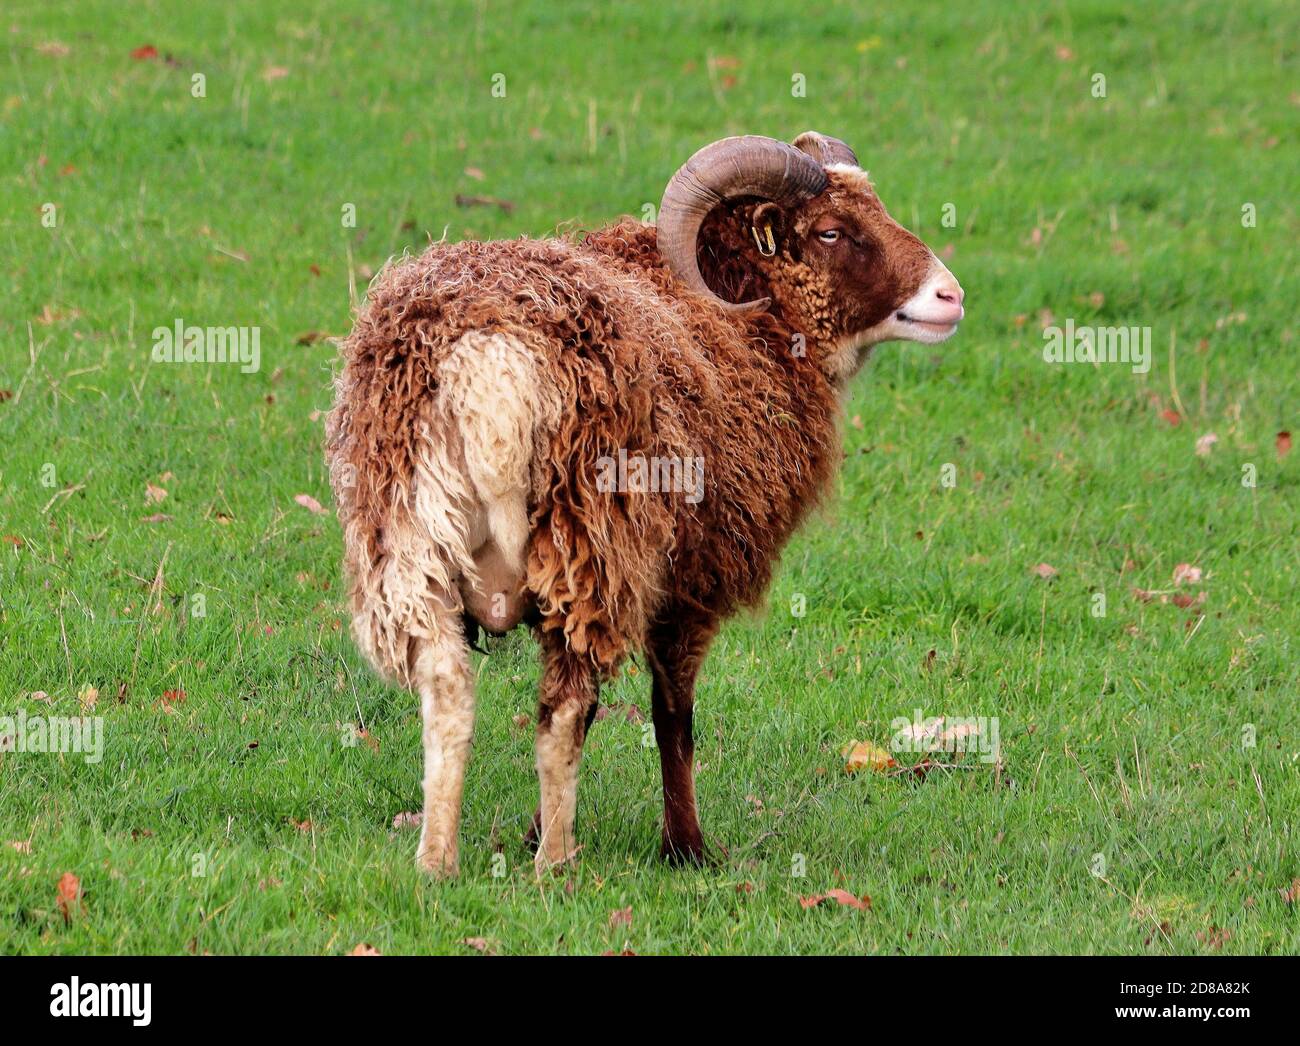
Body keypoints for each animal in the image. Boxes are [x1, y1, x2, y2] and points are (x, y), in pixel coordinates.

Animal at [324, 131, 965, 876]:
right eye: (830, 231)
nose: (951, 295)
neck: (749, 316)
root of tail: (488, 357)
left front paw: (535, 831)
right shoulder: (693, 577)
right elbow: (672, 716)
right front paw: (685, 847)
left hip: (409, 543)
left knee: (449, 692)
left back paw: (437, 862)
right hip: (589, 538)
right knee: (567, 708)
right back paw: (556, 865)